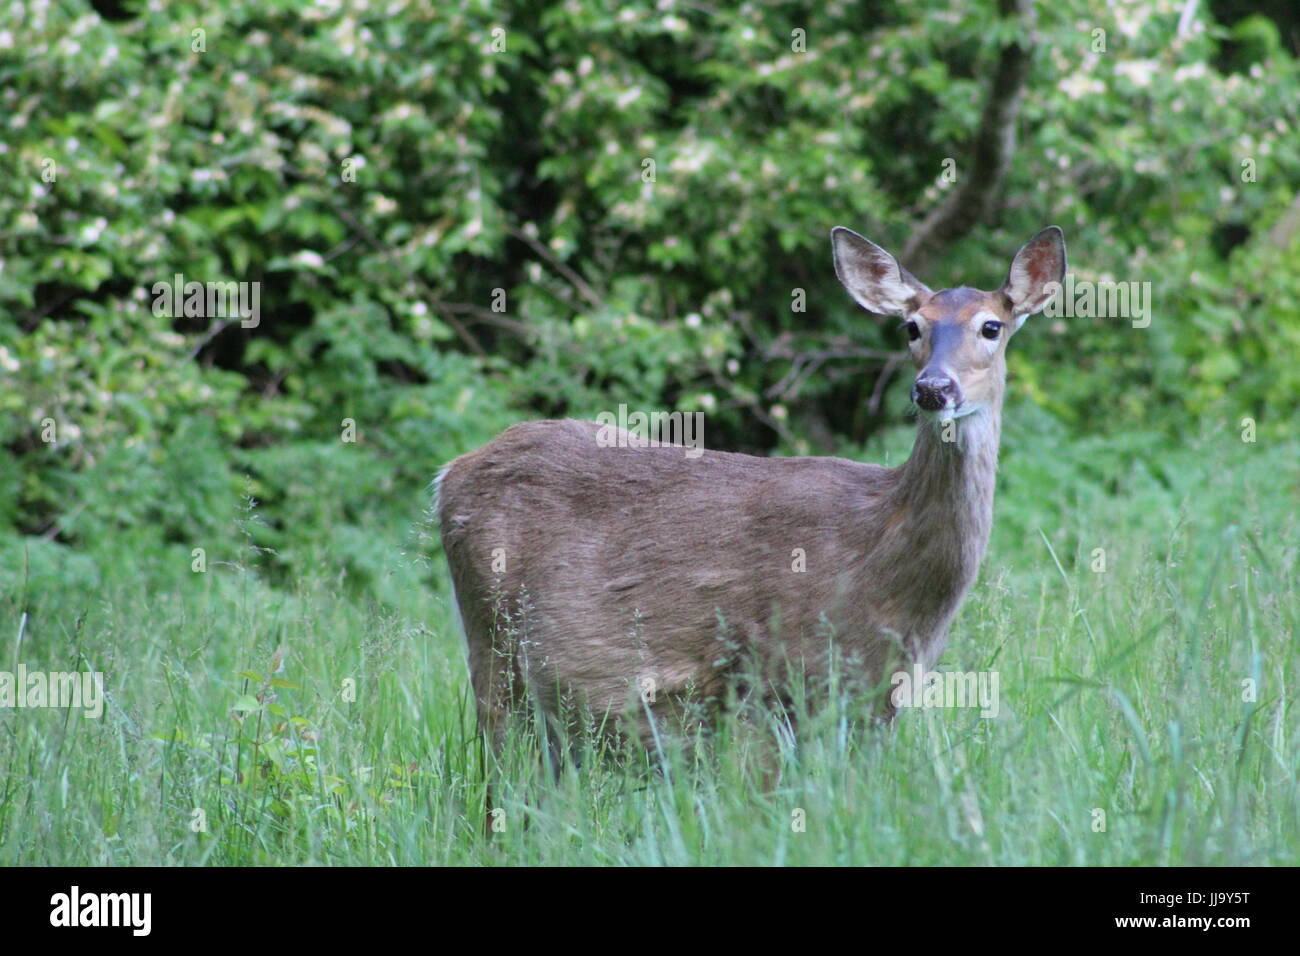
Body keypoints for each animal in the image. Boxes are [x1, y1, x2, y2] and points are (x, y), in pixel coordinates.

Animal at [436, 225, 1066, 766]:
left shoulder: (877, 700)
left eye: (992, 327)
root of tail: (447, 476)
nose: (934, 387)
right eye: (911, 327)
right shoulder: (768, 673)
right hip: (491, 642)